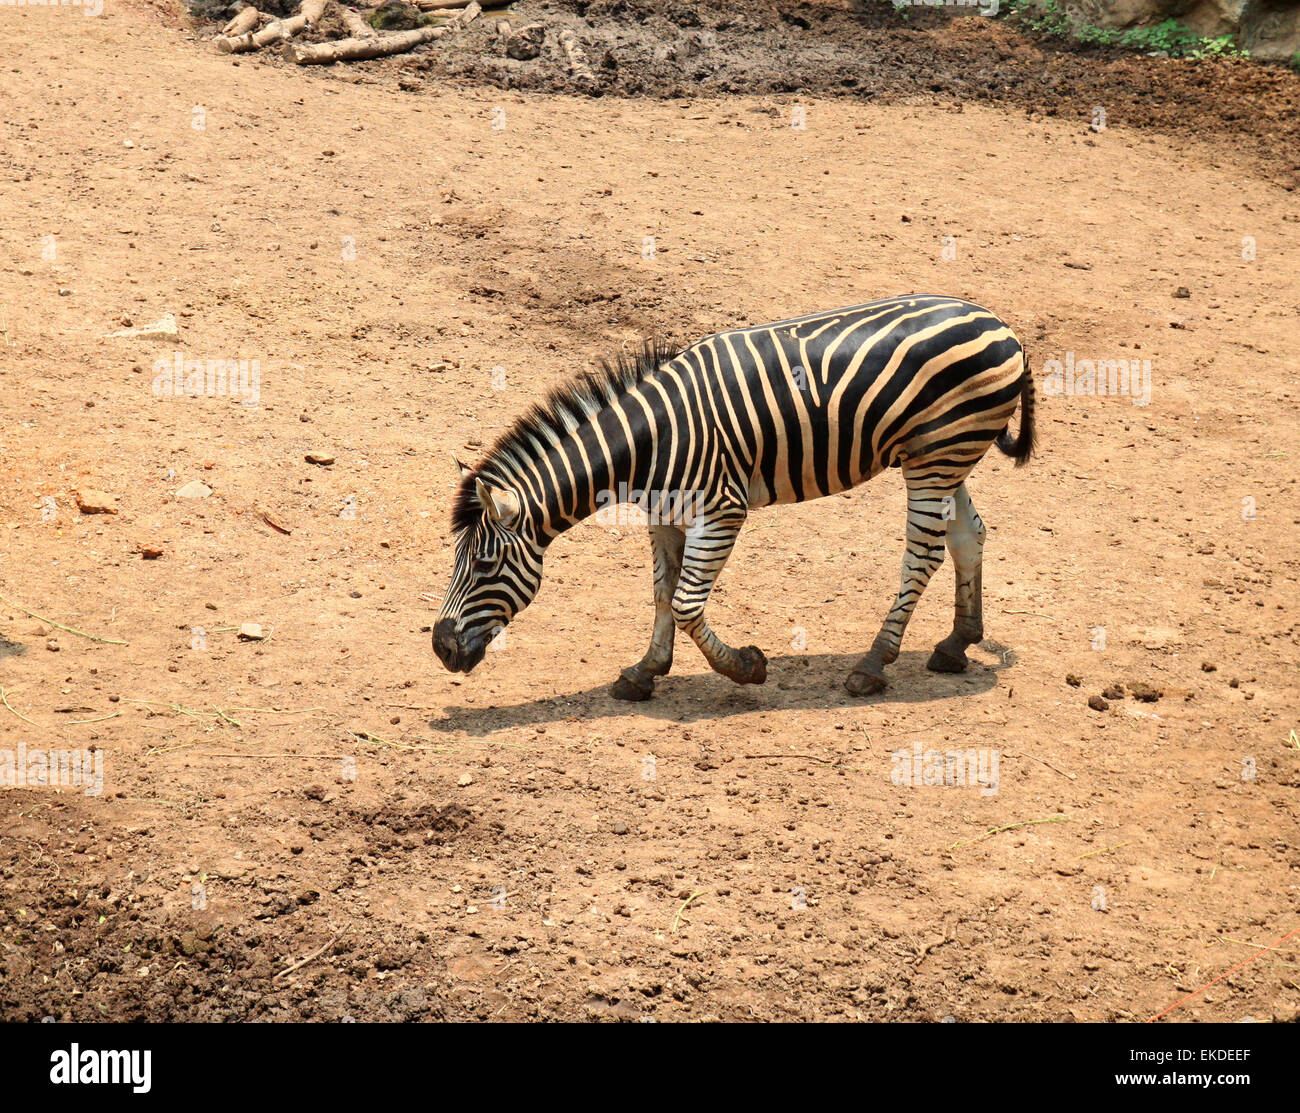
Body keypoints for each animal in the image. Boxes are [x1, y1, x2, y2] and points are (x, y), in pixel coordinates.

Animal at [432, 294, 1034, 699]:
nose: (440, 647)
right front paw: (645, 671)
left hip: (936, 458)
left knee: (922, 554)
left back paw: (872, 664)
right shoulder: (662, 516)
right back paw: (957, 643)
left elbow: (685, 603)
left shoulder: (722, 511)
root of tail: (1001, 324)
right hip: (941, 455)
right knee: (968, 535)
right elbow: (662, 594)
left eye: (484, 566)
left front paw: (745, 667)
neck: (650, 441)